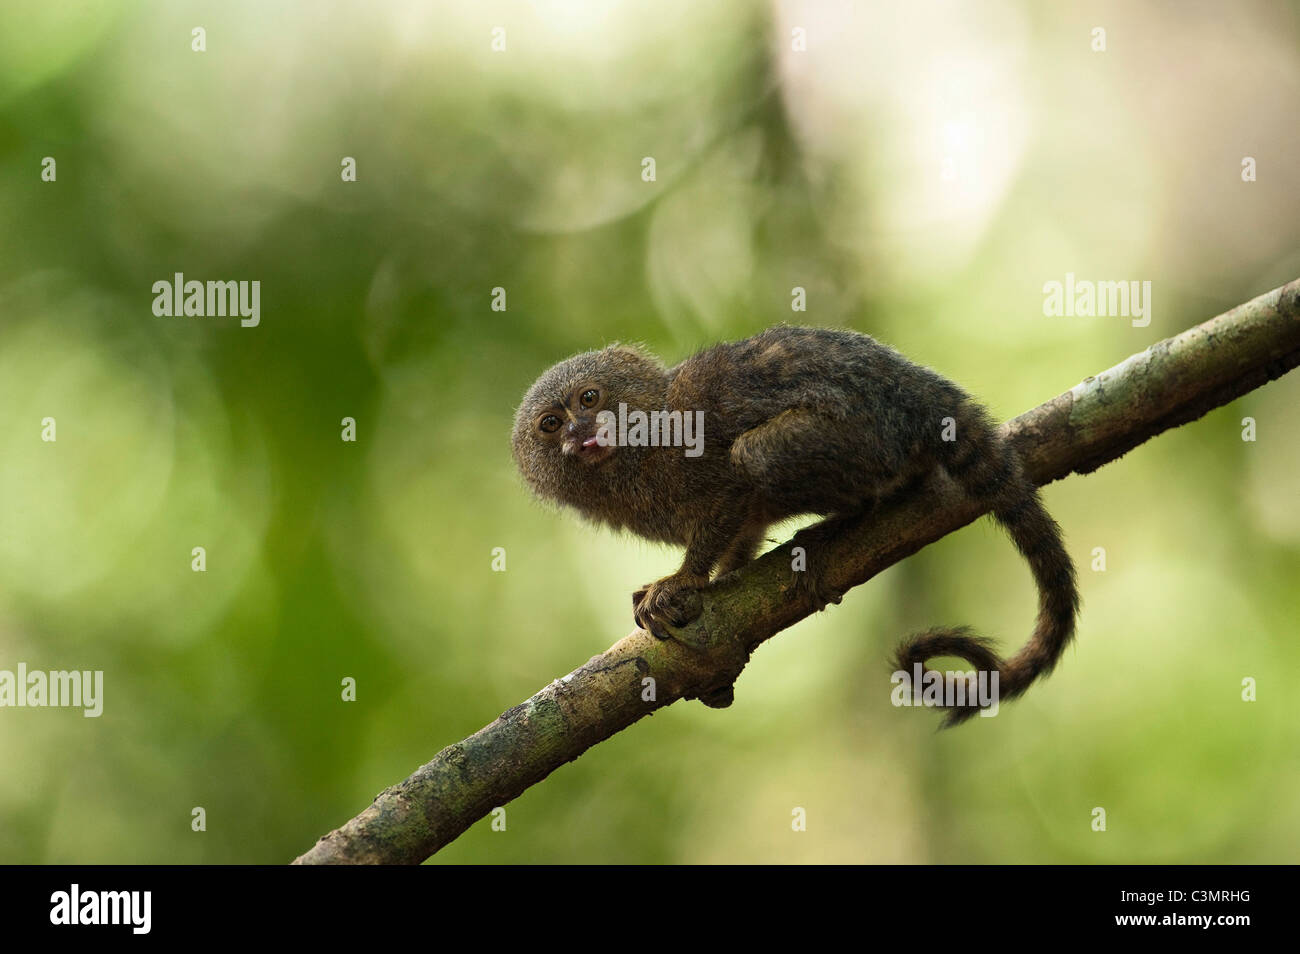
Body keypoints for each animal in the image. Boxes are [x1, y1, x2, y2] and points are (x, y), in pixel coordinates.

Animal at [511, 325, 1079, 725]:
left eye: (589, 398)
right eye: (551, 424)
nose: (581, 432)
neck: (642, 444)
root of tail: (917, 390)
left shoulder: (700, 458)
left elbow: (728, 497)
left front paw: (684, 581)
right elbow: (742, 532)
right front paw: (721, 575)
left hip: (863, 436)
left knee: (757, 454)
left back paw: (837, 525)